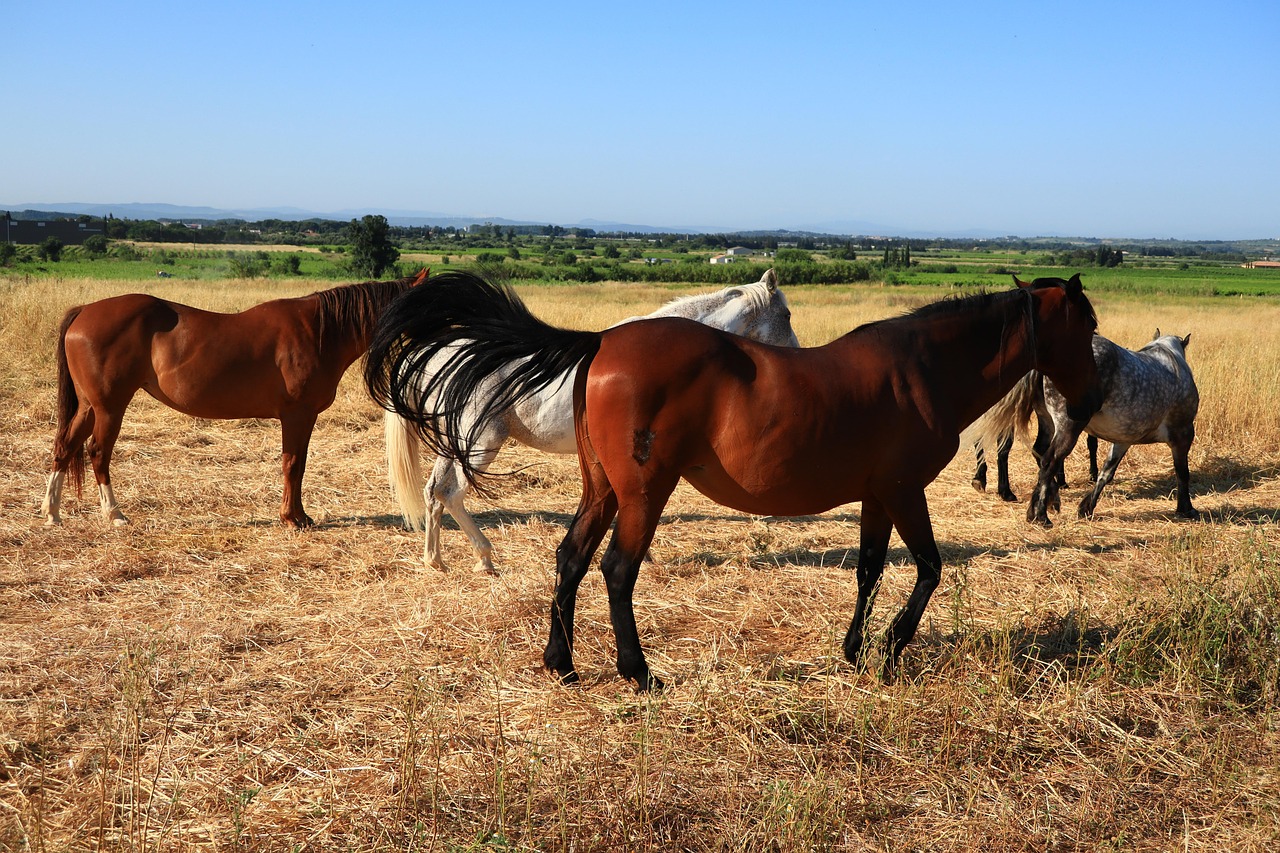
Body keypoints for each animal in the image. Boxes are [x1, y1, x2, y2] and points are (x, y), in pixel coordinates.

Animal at [40, 269, 427, 529]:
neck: (319, 333)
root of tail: (85, 311)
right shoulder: (298, 415)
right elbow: (294, 465)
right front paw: (293, 518)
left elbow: (295, 465)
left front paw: (298, 515)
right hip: (109, 407)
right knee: (97, 452)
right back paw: (114, 514)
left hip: (89, 407)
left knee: (65, 446)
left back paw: (52, 513)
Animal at [380, 270, 800, 573]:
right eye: (786, 314)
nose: (797, 359)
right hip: (479, 443)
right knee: (451, 493)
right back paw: (486, 559)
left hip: (454, 444)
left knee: (434, 492)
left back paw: (435, 561)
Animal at [985, 329, 1200, 526]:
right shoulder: (1183, 434)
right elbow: (1182, 472)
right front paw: (1186, 508)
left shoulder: (1124, 439)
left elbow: (1106, 473)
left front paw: (1086, 508)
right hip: (1068, 426)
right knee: (1049, 460)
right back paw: (1041, 516)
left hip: (1048, 421)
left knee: (1040, 452)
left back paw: (1038, 509)